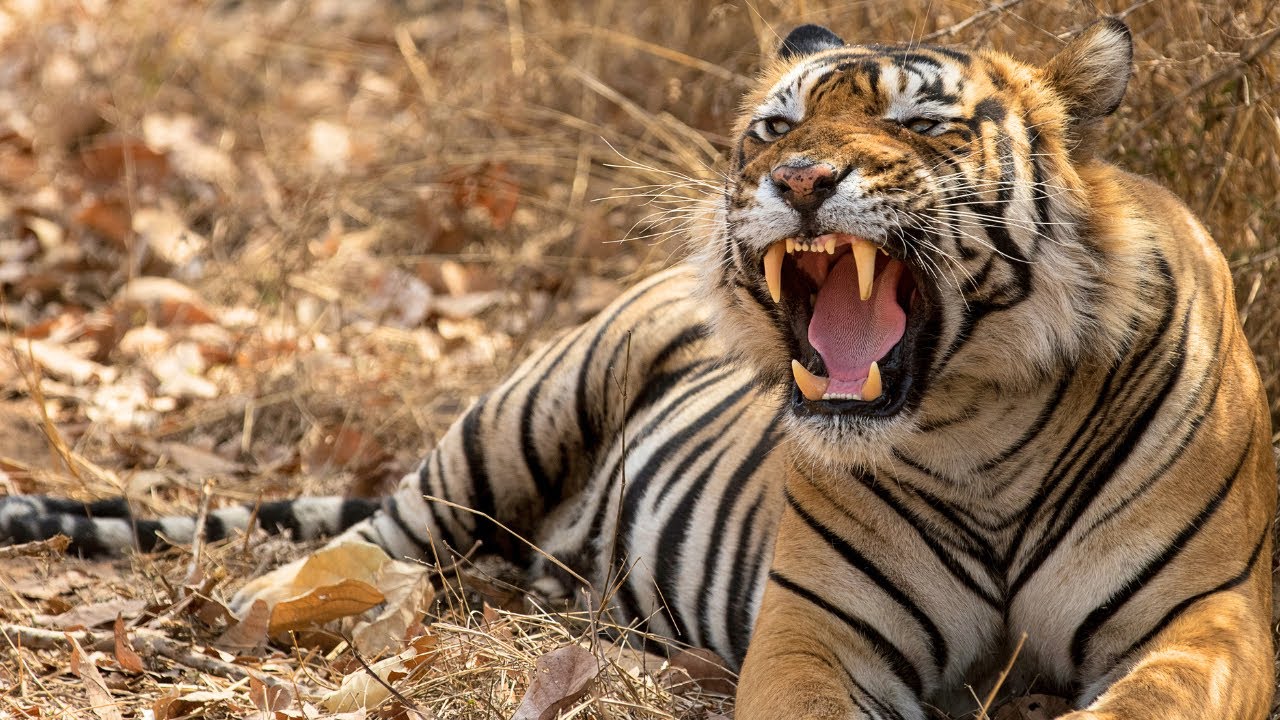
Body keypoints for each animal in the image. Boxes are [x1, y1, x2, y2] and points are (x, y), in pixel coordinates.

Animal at [2, 17, 1274, 720]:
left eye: (924, 127)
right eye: (774, 127)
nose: (795, 180)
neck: (976, 426)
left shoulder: (1206, 618)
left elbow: (1147, 703)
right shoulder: (815, 631)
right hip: (519, 414)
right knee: (380, 534)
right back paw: (273, 606)